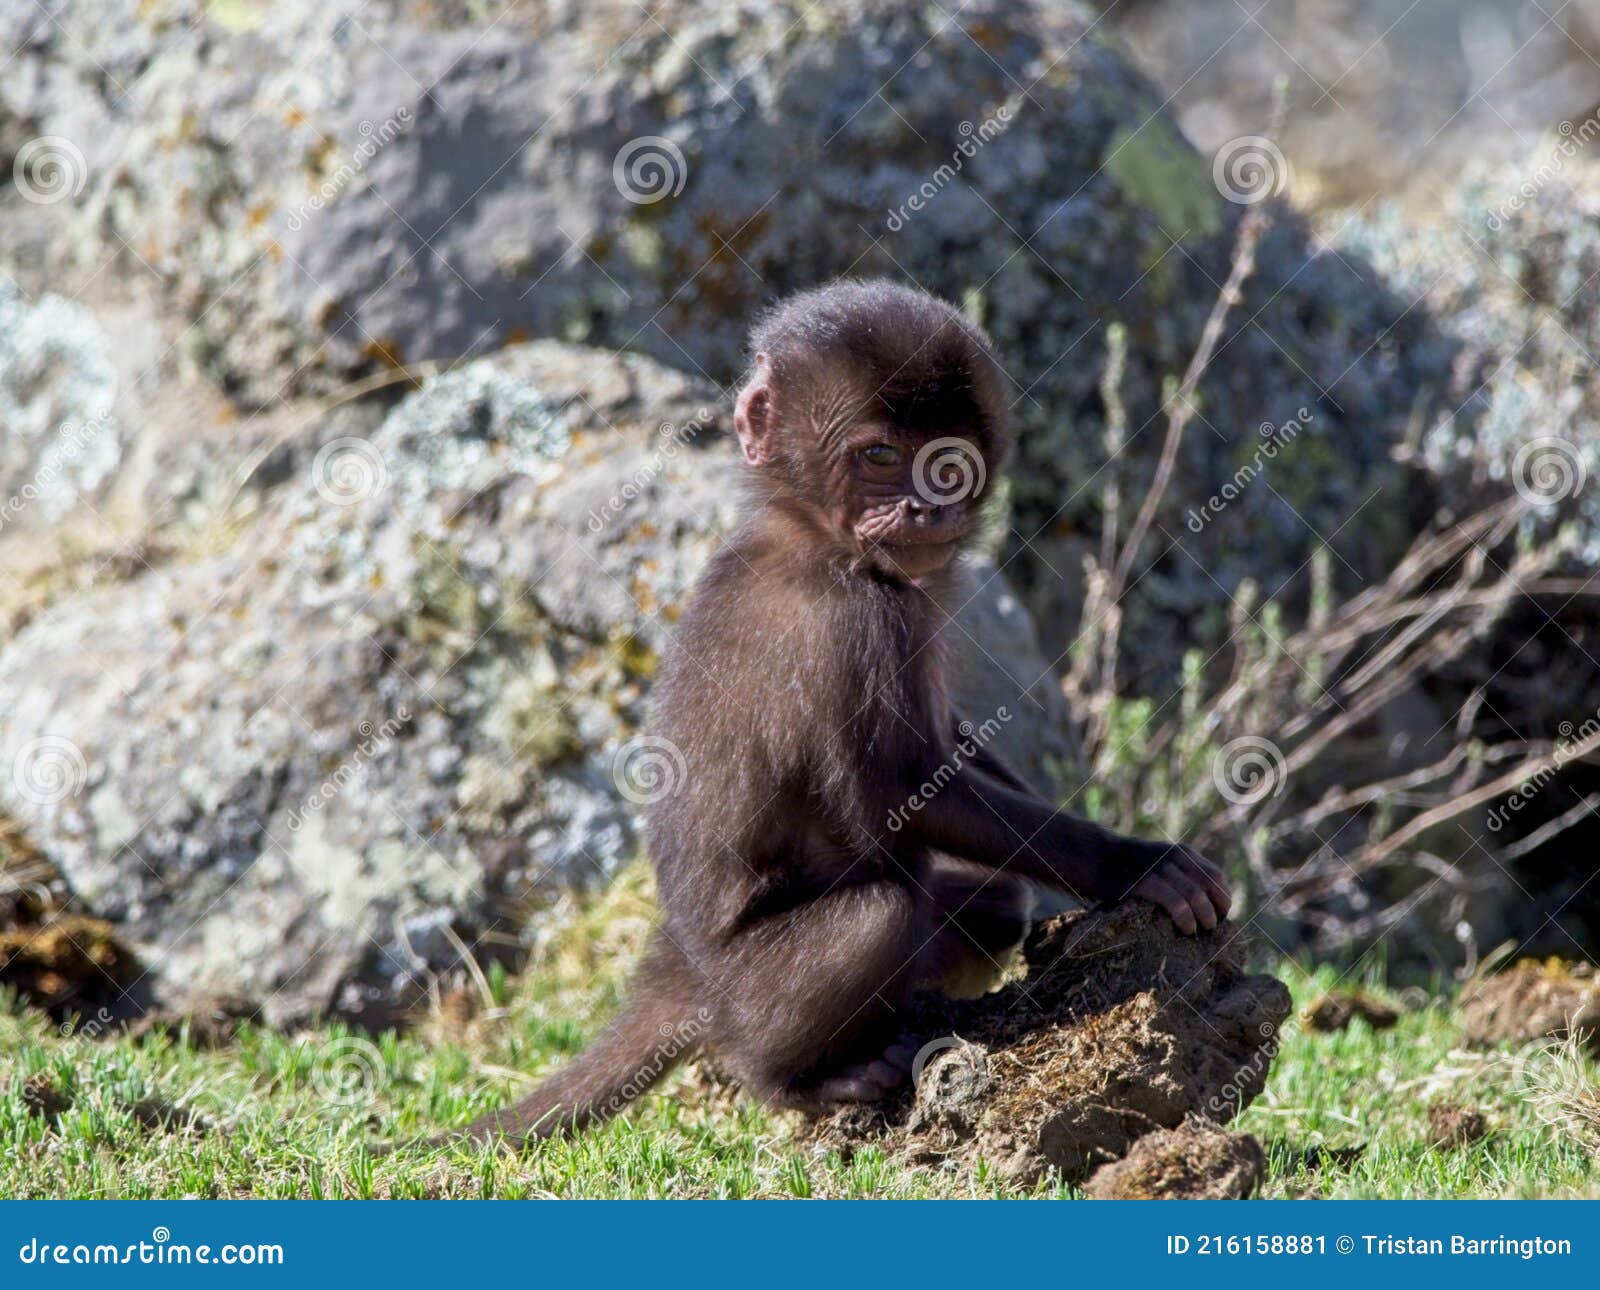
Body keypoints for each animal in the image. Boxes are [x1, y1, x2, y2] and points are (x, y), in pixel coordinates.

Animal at [433, 278, 1230, 1145]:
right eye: (879, 458)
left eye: (950, 465)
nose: (927, 511)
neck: (810, 531)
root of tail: (680, 963)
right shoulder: (858, 622)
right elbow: (896, 796)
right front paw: (1135, 863)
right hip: (745, 986)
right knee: (877, 916)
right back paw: (794, 1079)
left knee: (992, 906)